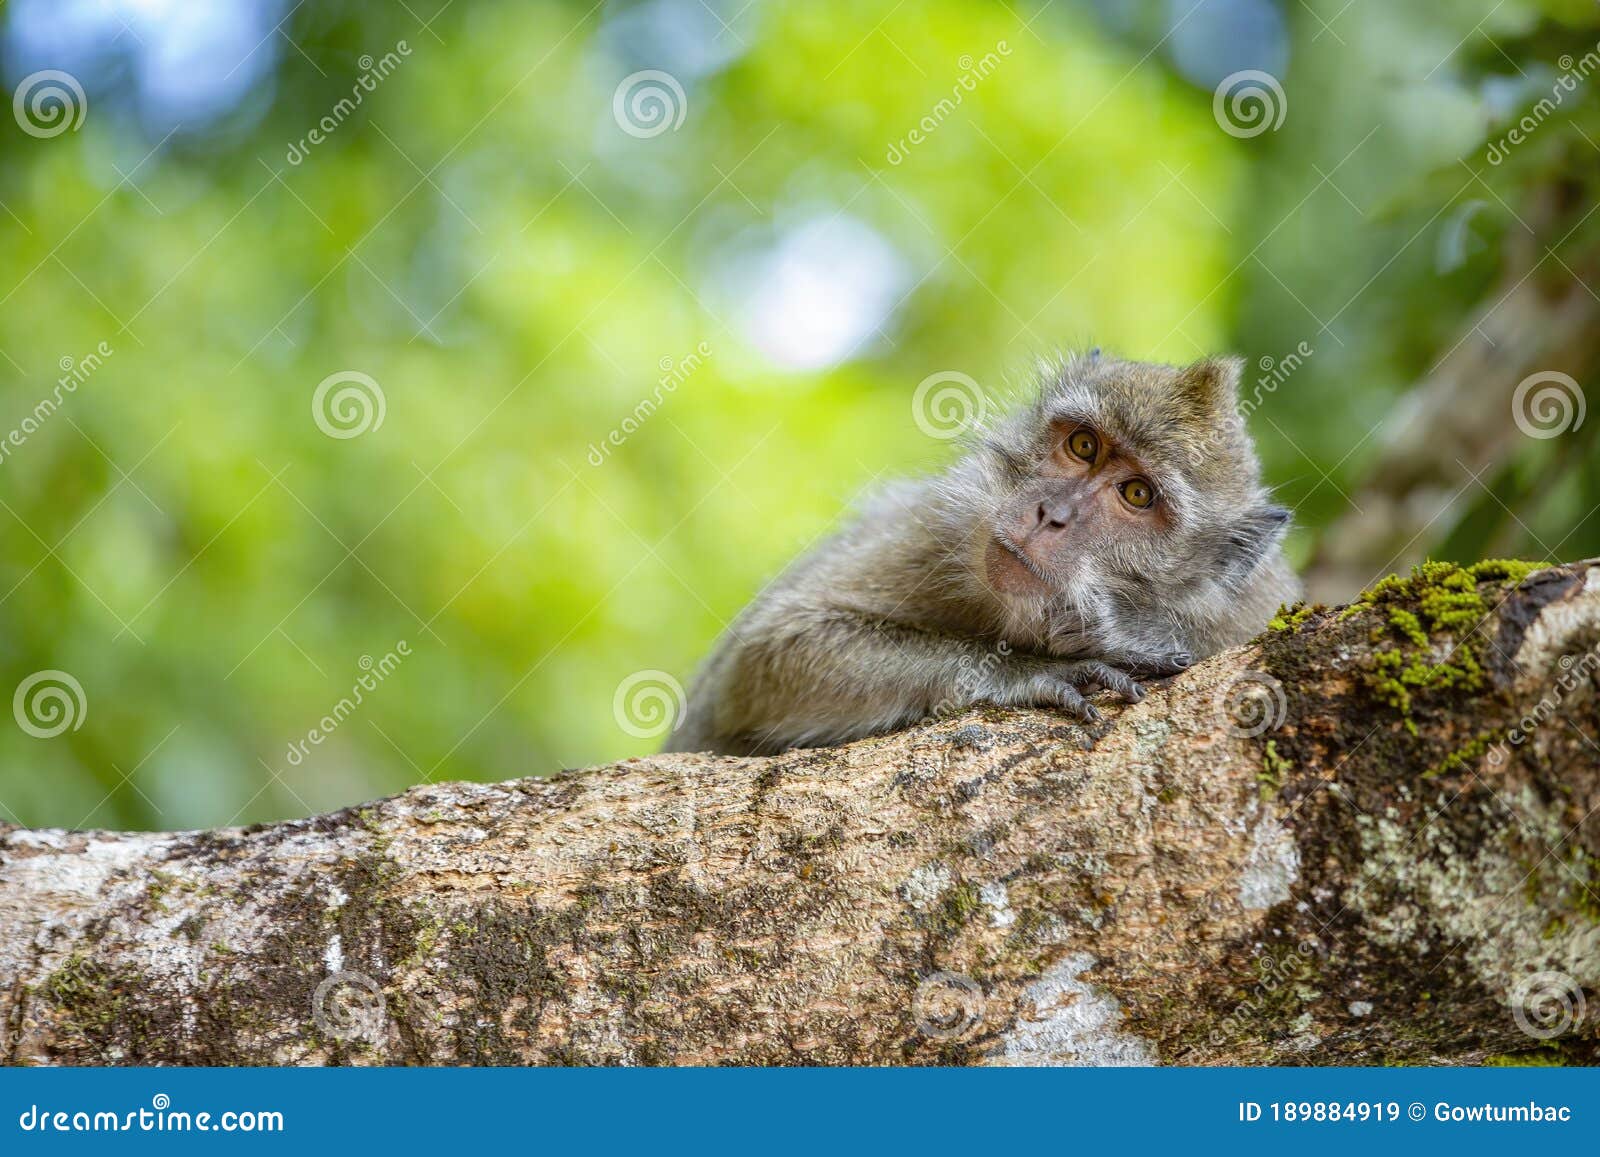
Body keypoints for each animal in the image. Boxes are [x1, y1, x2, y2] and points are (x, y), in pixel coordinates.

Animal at [663, 350, 1301, 756]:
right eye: (1083, 445)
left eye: (1137, 495)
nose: (1050, 514)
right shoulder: (940, 532)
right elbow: (768, 654)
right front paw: (1023, 671)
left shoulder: (1242, 620)